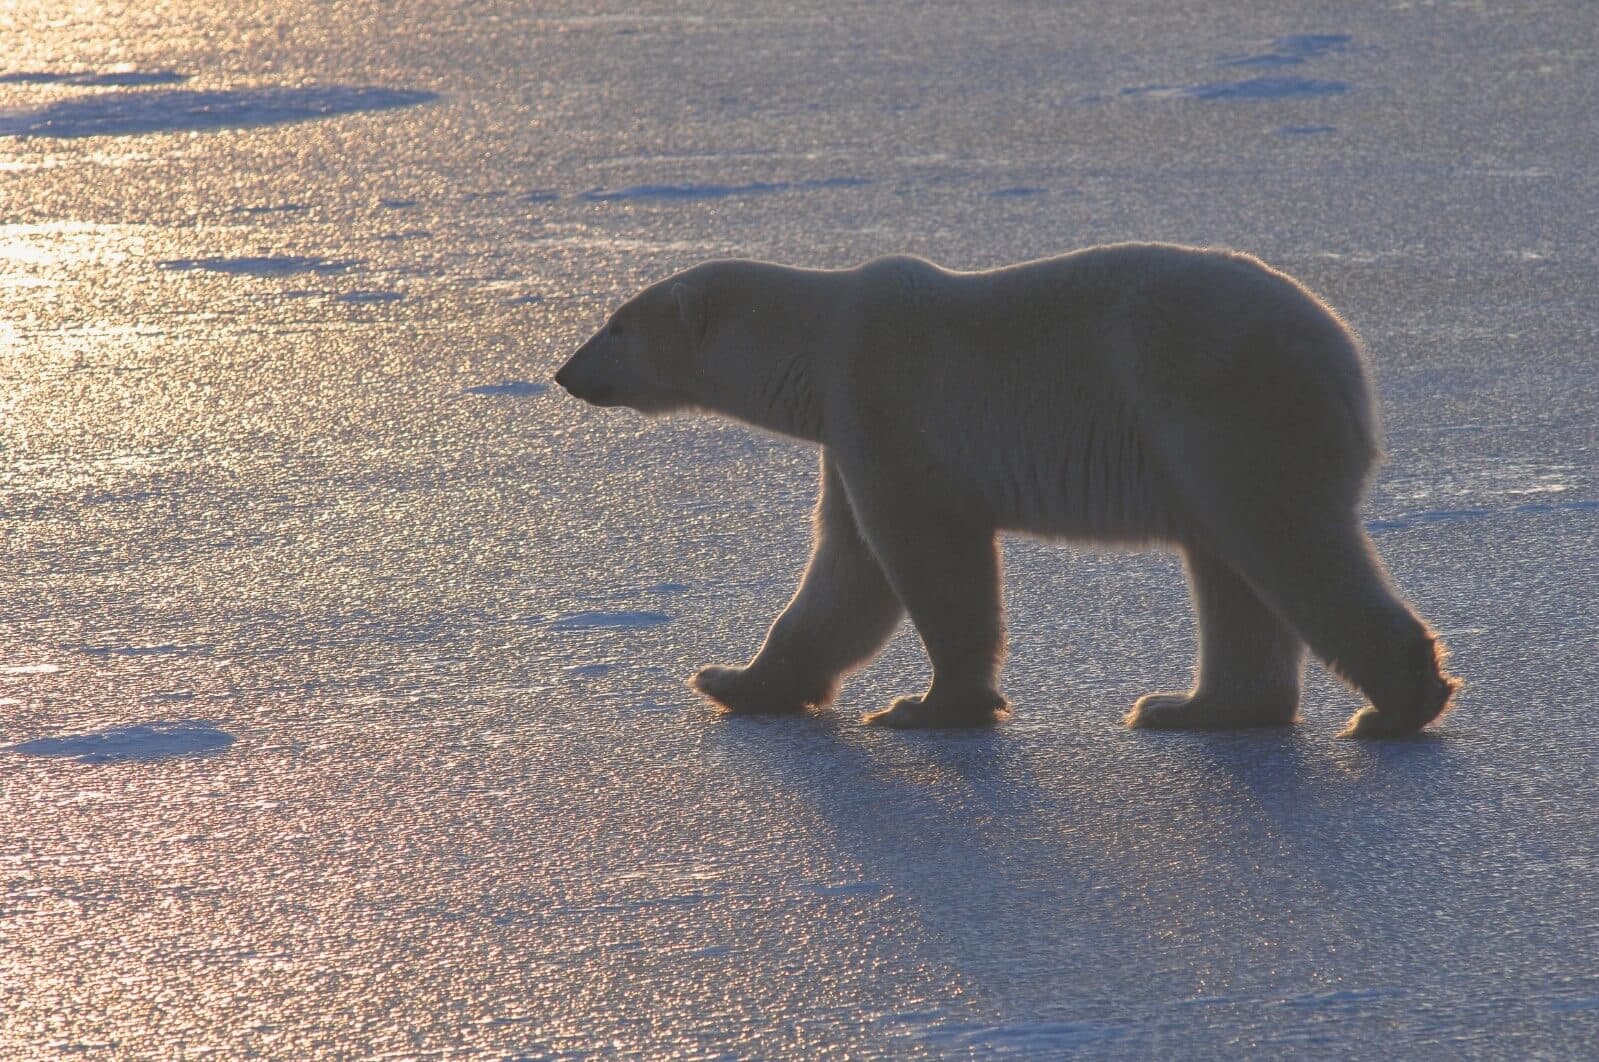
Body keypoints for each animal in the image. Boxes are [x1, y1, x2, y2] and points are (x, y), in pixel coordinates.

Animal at [554, 243, 1459, 737]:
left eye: (615, 324)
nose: (564, 374)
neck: (819, 340)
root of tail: (1345, 357)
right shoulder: (848, 436)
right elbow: (844, 570)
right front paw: (732, 681)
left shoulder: (884, 402)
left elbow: (924, 558)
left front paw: (927, 706)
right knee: (1231, 568)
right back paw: (1189, 707)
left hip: (1227, 406)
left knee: (1283, 543)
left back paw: (1398, 702)